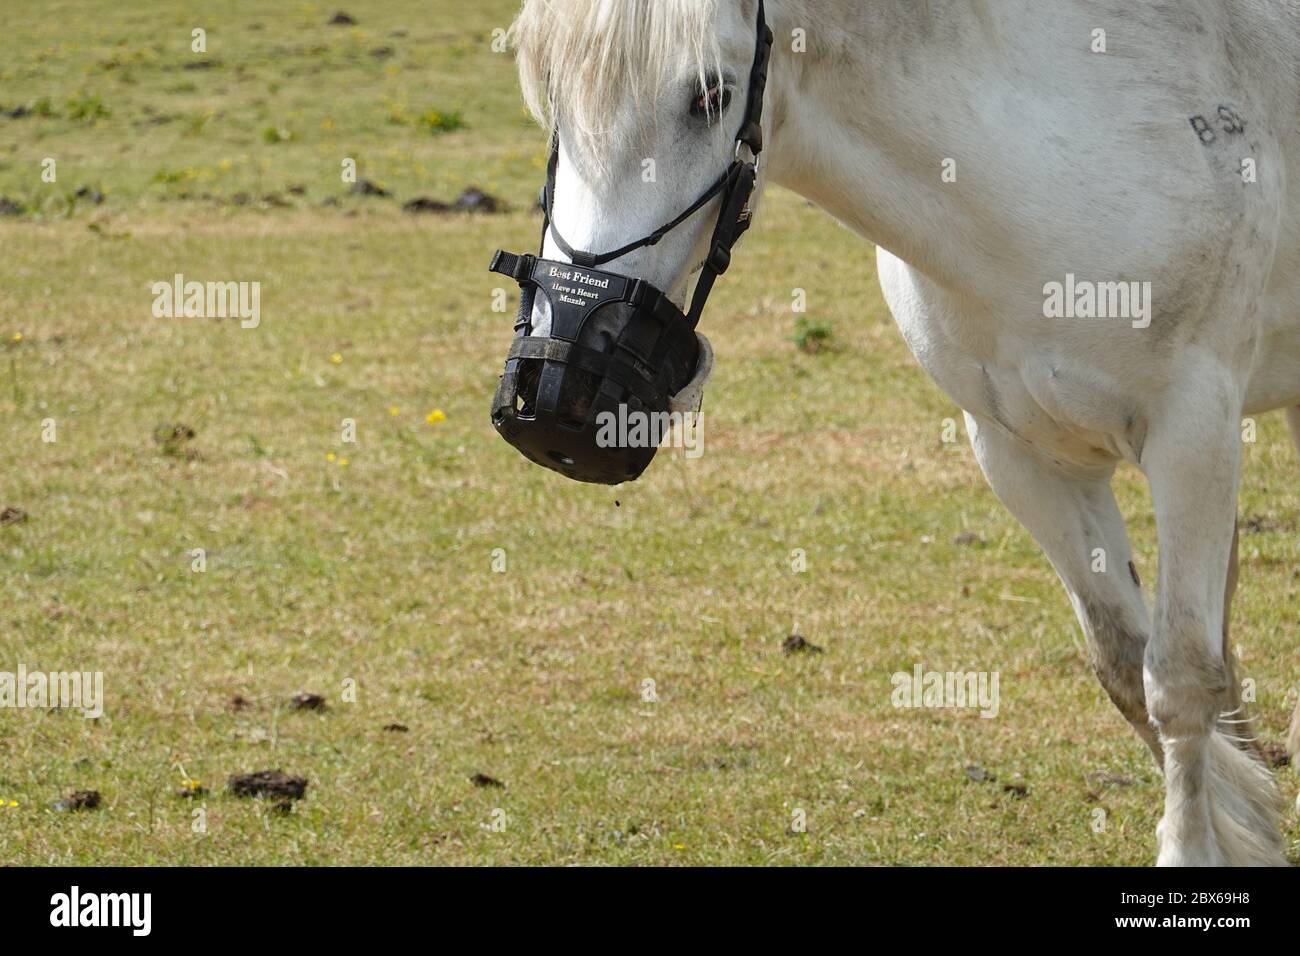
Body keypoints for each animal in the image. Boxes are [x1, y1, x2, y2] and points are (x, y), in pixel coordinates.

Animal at [505, 0, 1300, 865]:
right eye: (552, 95)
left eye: (710, 97)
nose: (563, 386)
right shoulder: (1023, 457)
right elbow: (1127, 665)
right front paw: (1248, 821)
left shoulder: (1193, 435)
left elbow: (1181, 677)